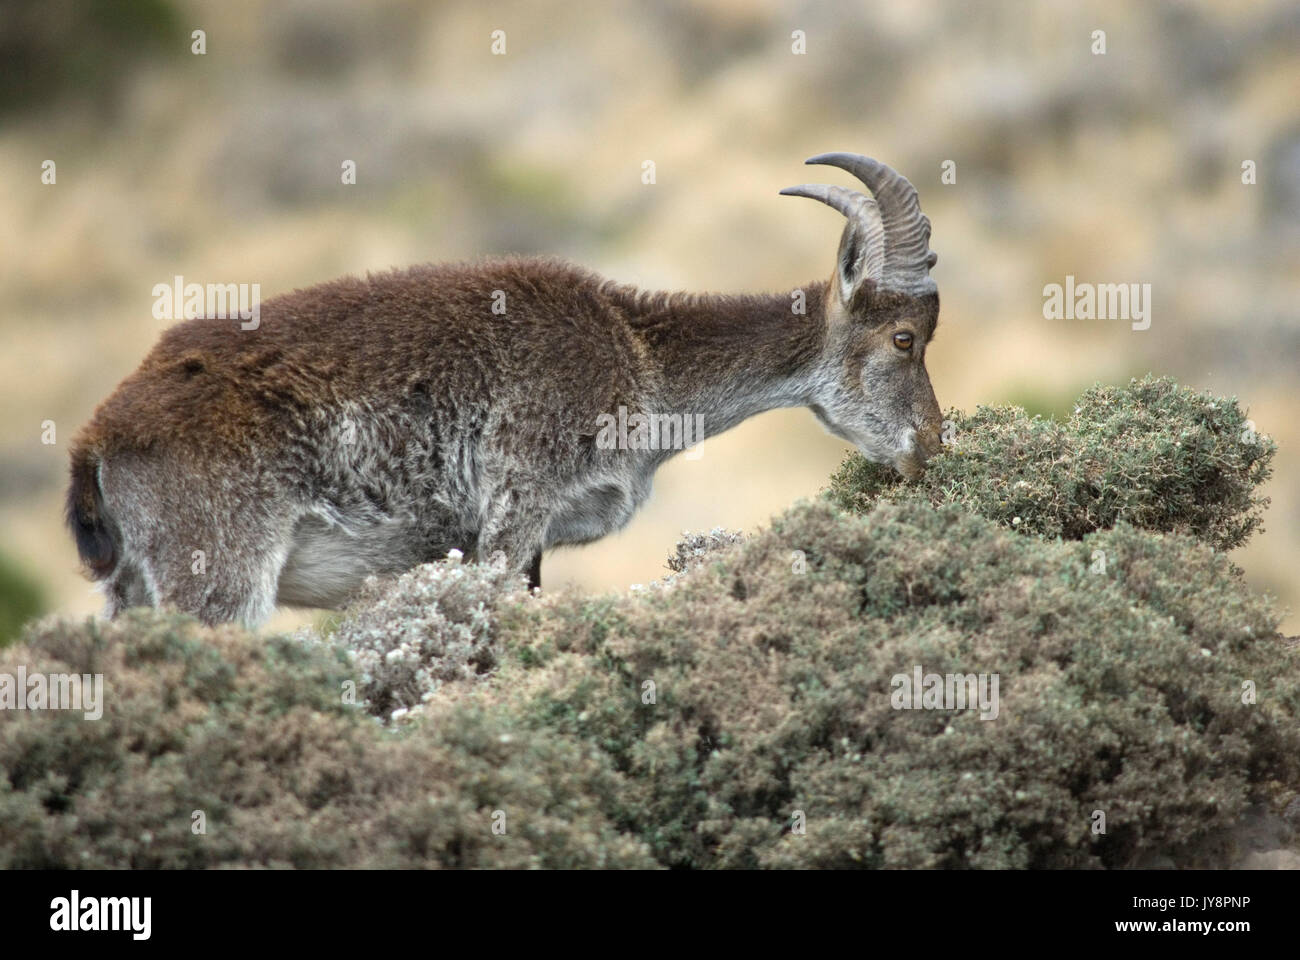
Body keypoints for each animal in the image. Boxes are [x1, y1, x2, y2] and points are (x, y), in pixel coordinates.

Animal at [66, 153, 943, 626]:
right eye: (905, 337)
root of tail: (99, 437)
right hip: (217, 569)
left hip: (134, 586)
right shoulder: (516, 503)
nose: (931, 447)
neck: (639, 357)